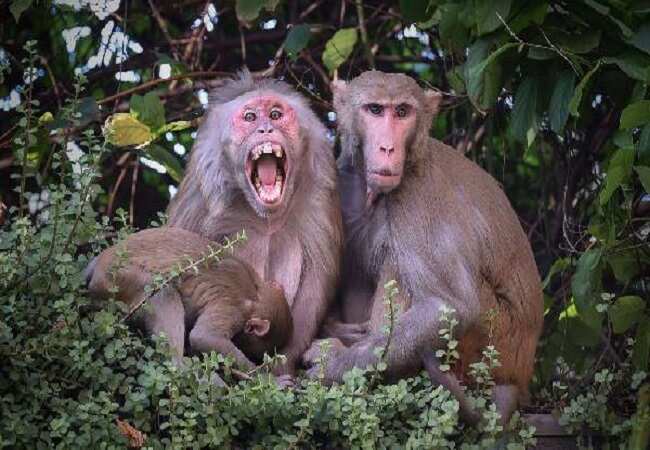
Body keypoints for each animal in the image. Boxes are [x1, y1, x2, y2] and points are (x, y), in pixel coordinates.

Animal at [85, 227, 293, 376]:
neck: (256, 292)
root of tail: (98, 264)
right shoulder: (233, 309)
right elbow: (204, 337)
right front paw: (265, 377)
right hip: (116, 280)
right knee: (163, 293)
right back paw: (181, 367)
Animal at [165, 71, 343, 376]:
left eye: (275, 114)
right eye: (250, 117)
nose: (265, 129)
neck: (265, 216)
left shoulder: (320, 194)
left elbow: (316, 282)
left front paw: (282, 369)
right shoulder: (201, 194)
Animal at [304, 71, 543, 425]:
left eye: (402, 112)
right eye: (375, 110)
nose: (388, 148)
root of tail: (522, 375)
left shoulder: (416, 195)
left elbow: (447, 306)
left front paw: (333, 363)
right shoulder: (342, 184)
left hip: (496, 343)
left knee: (399, 266)